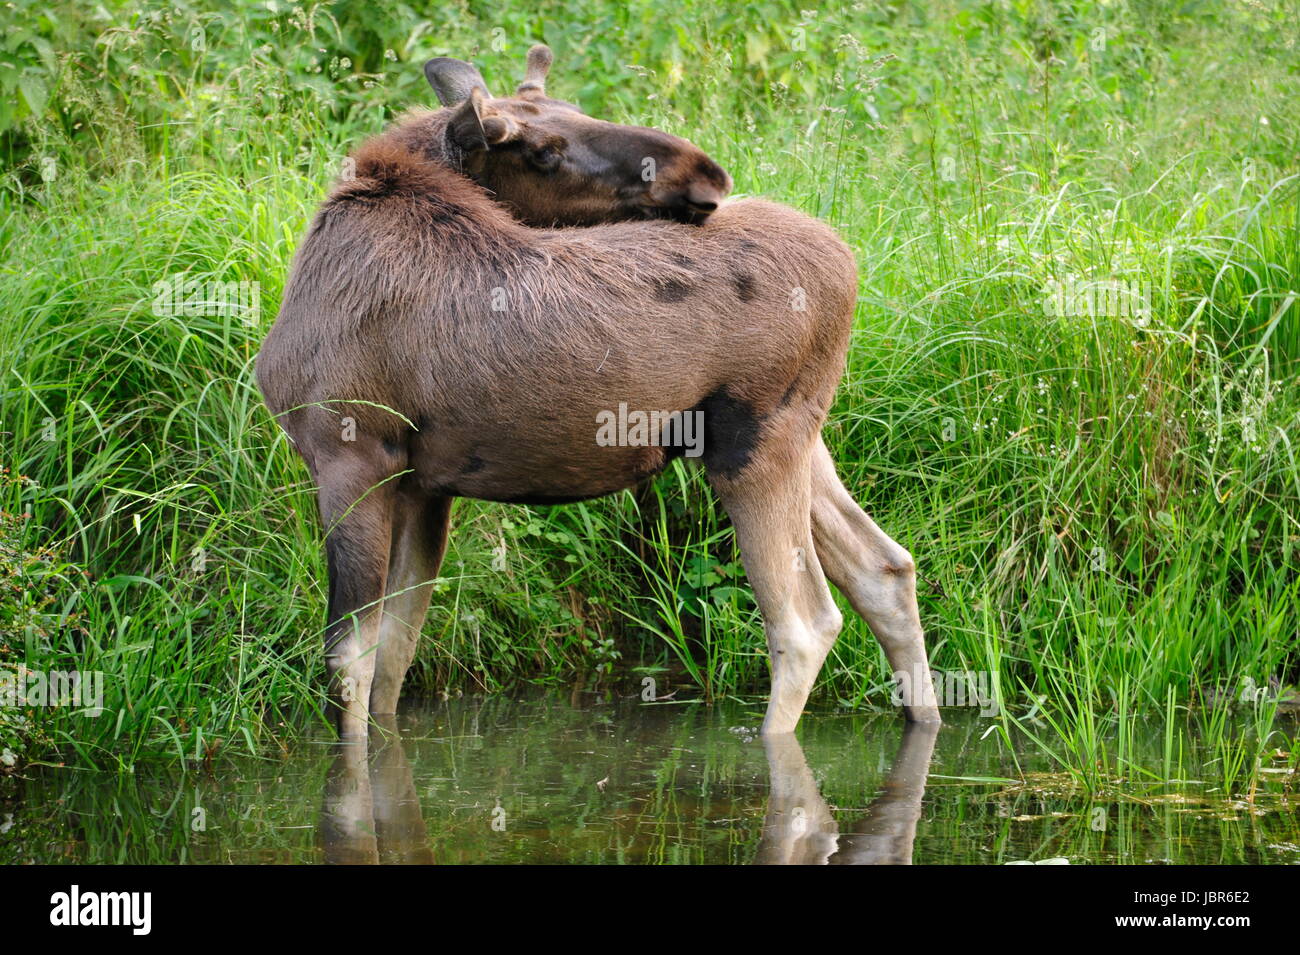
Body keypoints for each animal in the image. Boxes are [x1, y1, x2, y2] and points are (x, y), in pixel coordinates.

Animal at [256, 46, 941, 739]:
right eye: (543, 151)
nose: (707, 178)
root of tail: (849, 266)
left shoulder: (351, 454)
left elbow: (349, 661)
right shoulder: (422, 483)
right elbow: (398, 651)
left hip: (751, 445)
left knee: (803, 624)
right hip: (799, 434)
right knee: (884, 567)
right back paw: (924, 718)